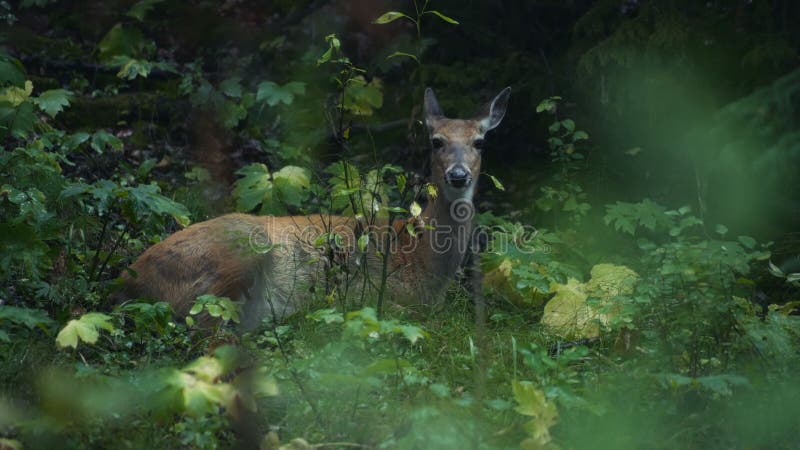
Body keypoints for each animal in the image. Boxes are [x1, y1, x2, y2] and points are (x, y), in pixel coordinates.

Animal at [115, 87, 511, 329]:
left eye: (479, 141)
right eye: (436, 141)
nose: (458, 175)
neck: (423, 259)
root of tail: (127, 281)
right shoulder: (378, 293)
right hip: (240, 252)